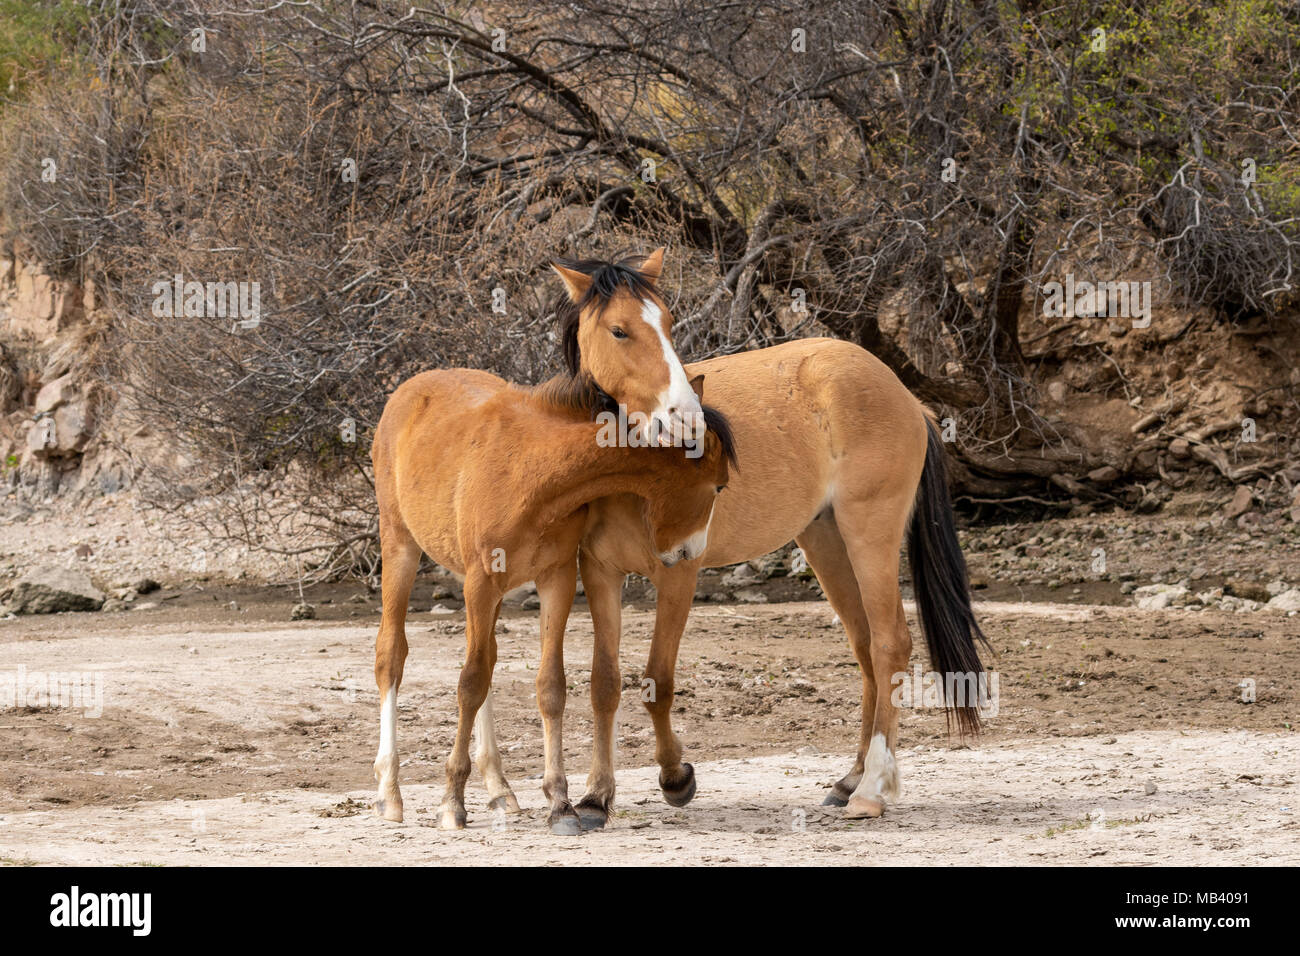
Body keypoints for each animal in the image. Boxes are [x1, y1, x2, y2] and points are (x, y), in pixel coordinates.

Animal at [369, 362, 735, 834]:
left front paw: (560, 803)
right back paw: (389, 791)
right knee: (393, 655)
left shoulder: (555, 577)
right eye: (718, 486)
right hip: (400, 545)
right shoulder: (481, 581)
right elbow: (470, 682)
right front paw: (451, 801)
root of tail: (409, 389)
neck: (532, 473)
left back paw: (499, 788)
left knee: (487, 656)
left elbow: (548, 686)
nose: (691, 552)